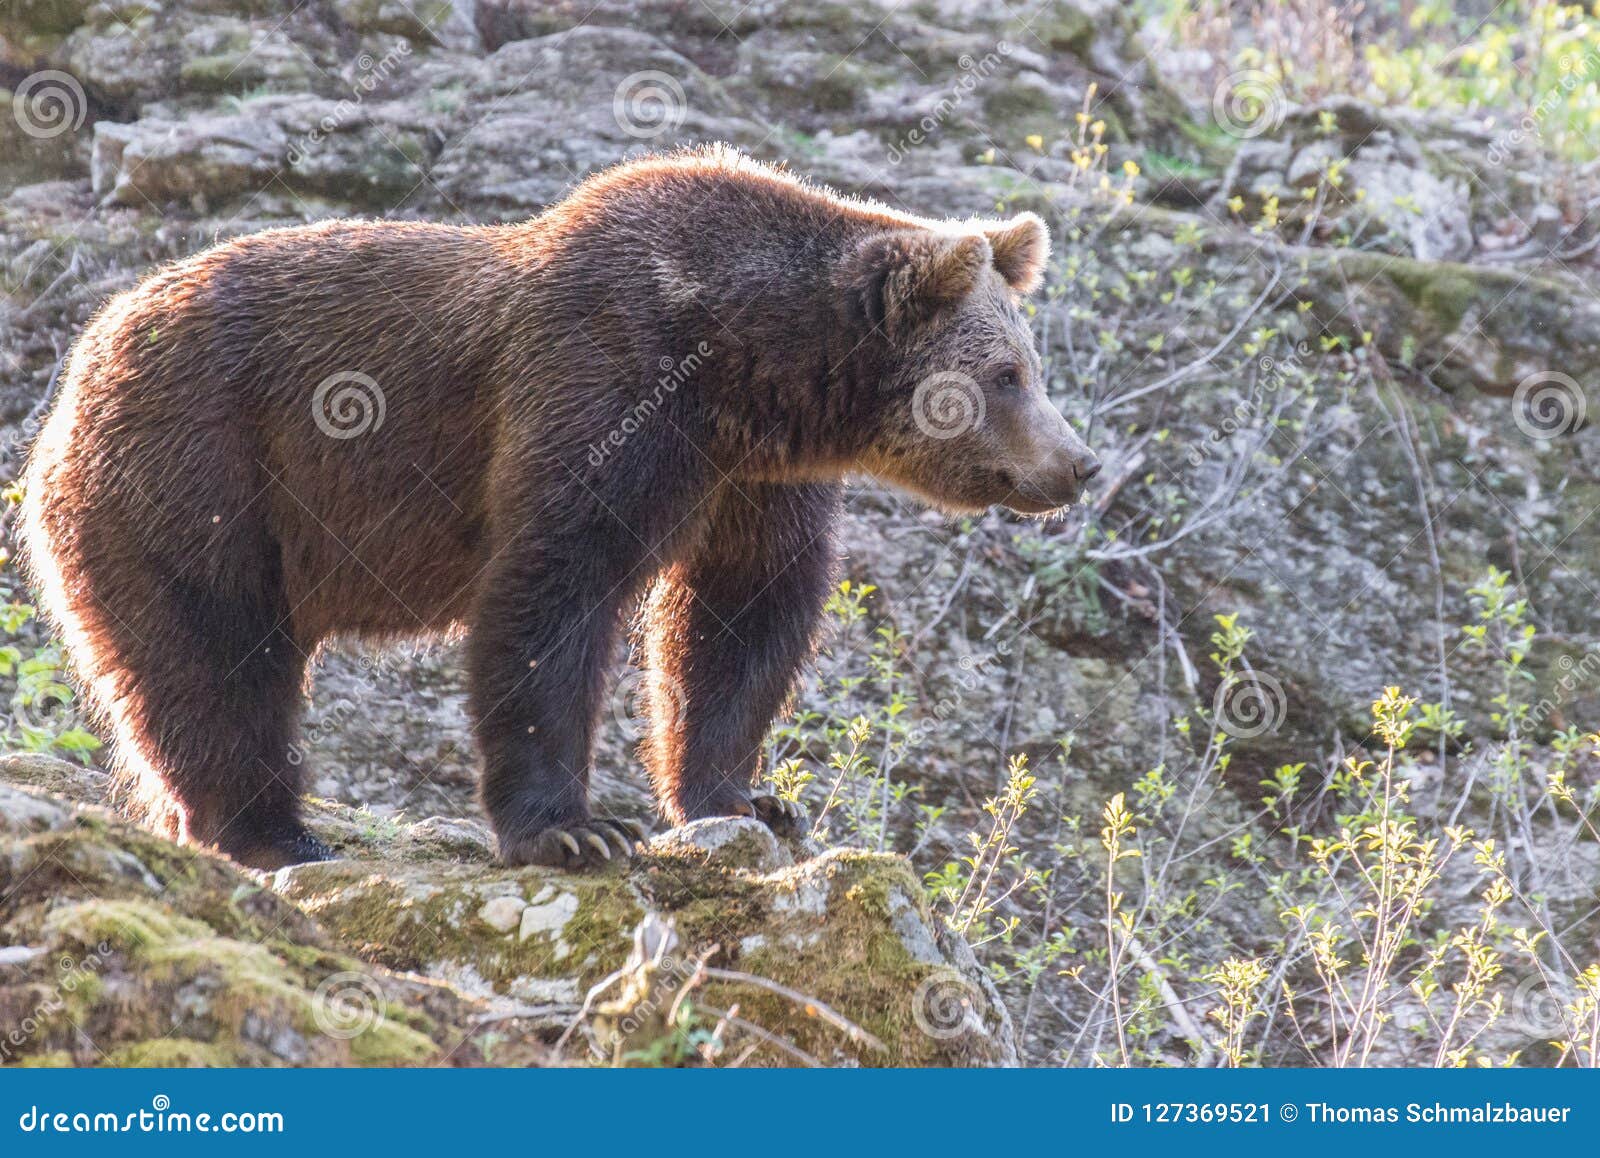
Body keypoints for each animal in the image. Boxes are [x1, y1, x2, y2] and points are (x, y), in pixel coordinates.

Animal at [18, 146, 1099, 871]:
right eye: (1007, 374)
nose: (1078, 464)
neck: (746, 365)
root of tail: (78, 365)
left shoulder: (750, 476)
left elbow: (742, 616)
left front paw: (746, 801)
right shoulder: (604, 383)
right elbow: (553, 591)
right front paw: (575, 828)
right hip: (200, 474)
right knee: (217, 655)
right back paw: (275, 831)